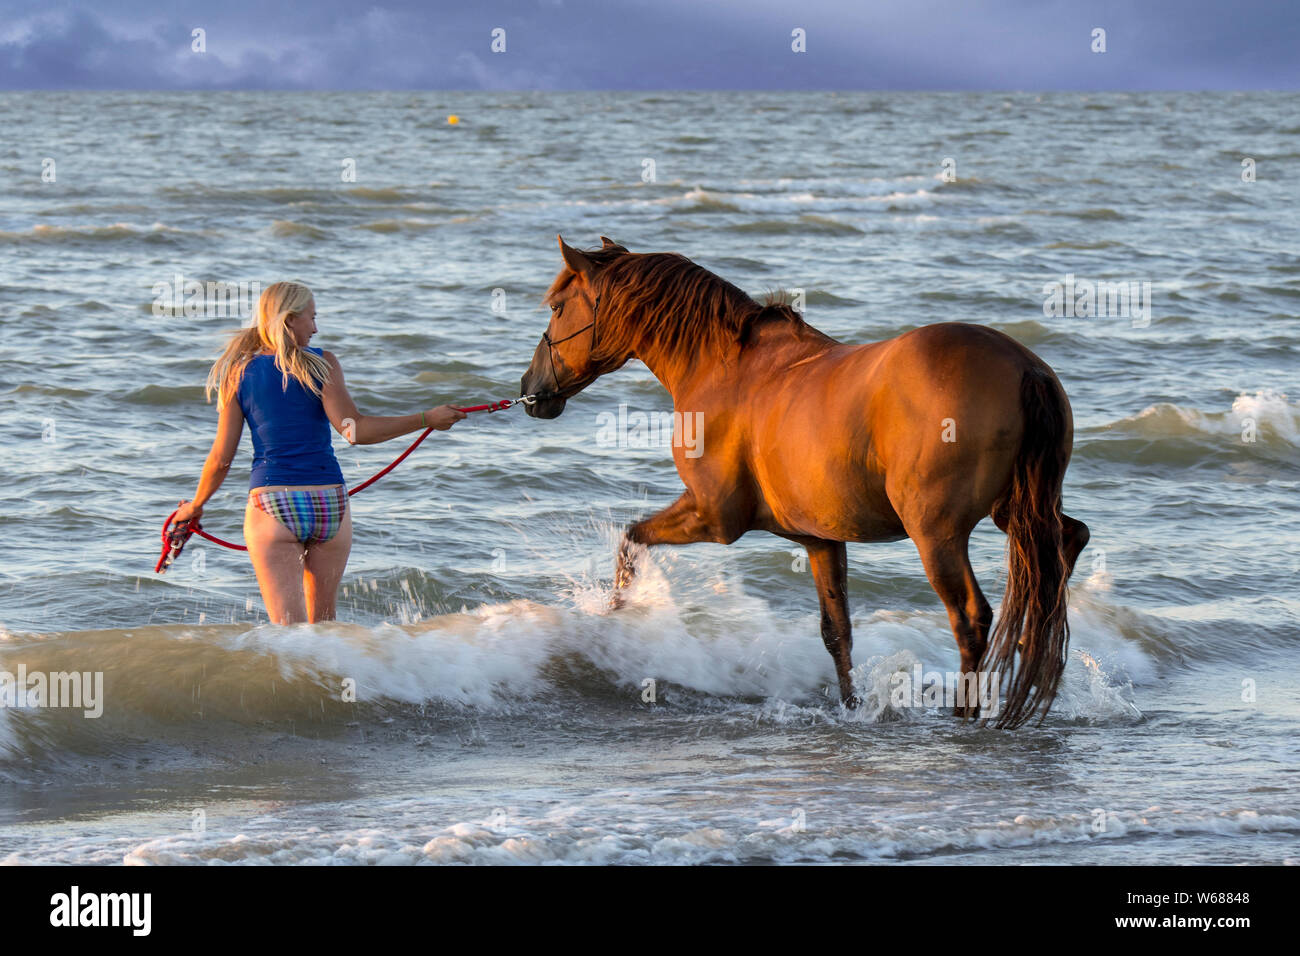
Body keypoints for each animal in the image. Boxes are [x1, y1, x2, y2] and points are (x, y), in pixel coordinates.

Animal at [520, 236, 1089, 728]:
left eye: (557, 308)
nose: (530, 389)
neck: (723, 368)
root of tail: (1026, 369)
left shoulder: (713, 517)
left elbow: (631, 542)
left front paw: (614, 621)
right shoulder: (820, 539)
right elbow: (837, 633)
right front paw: (851, 707)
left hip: (938, 533)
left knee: (971, 616)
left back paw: (967, 714)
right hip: (1016, 511)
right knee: (1064, 548)